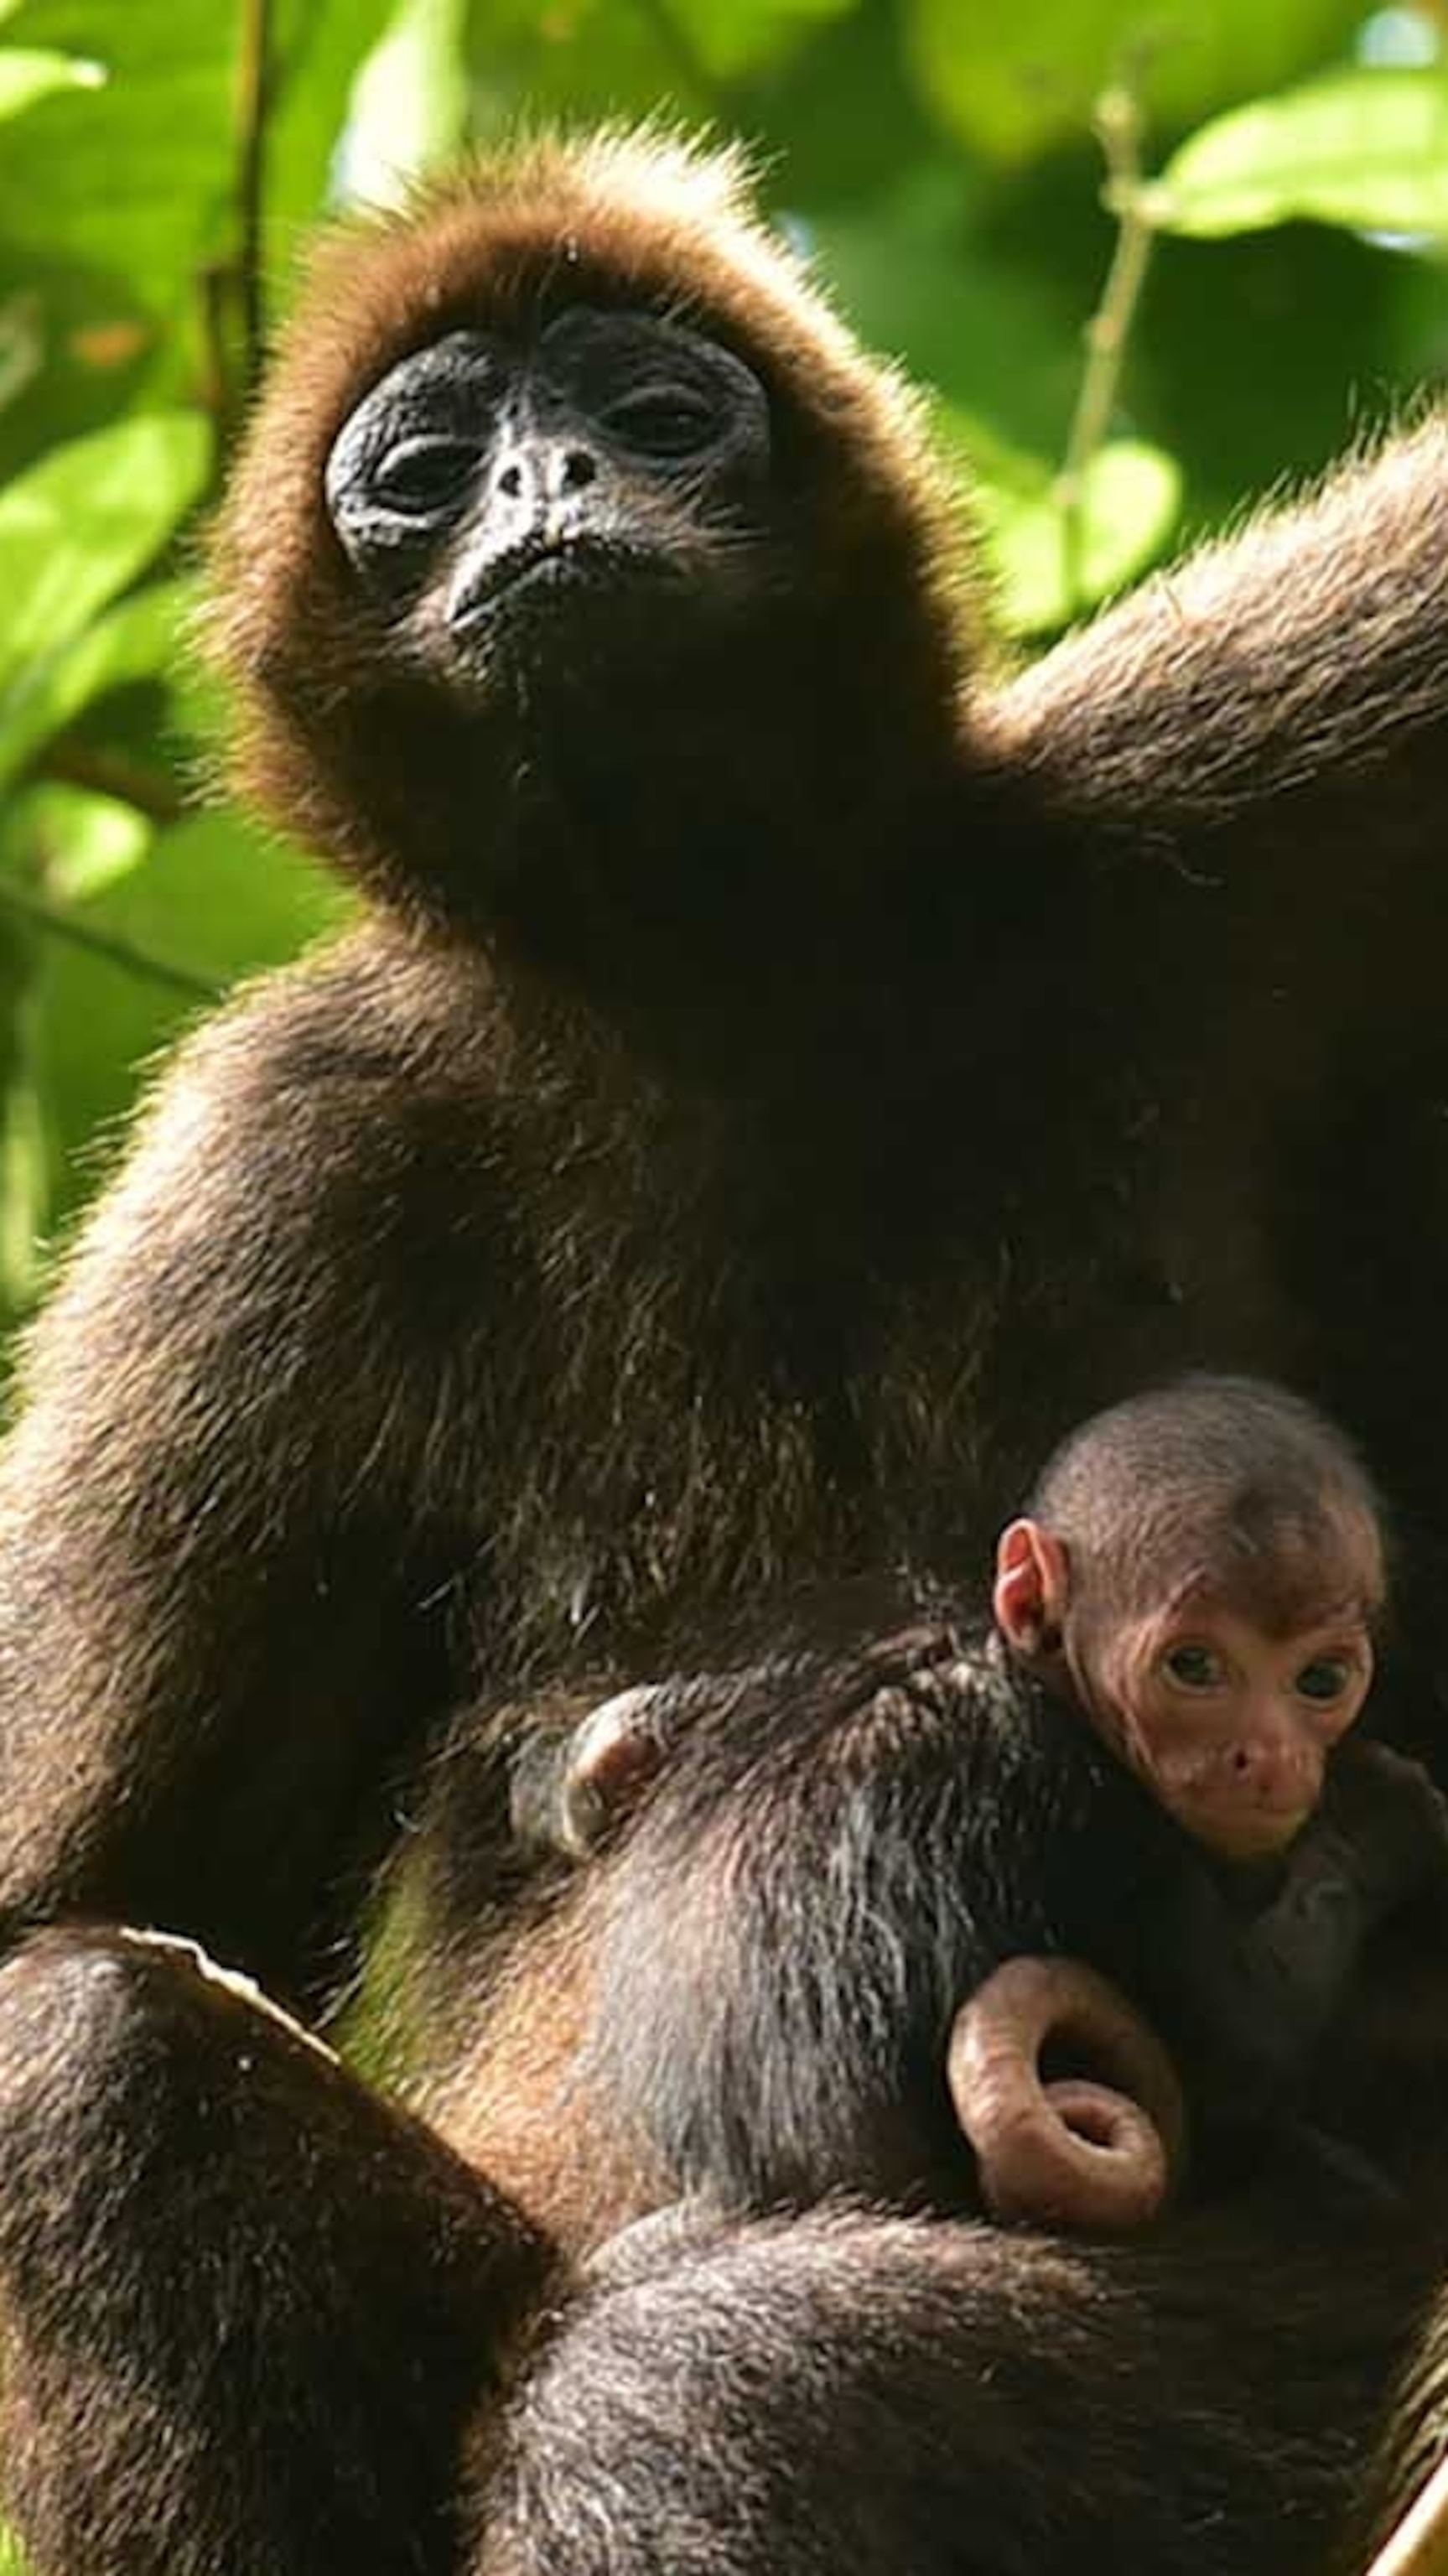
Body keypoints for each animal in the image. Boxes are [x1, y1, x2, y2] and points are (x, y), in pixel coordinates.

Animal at [3, 120, 1448, 2569]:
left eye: (655, 412)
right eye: (421, 472)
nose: (544, 481)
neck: (721, 1001)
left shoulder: (1216, 782)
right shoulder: (269, 1157)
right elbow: (66, 1913)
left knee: (704, 2387)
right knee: (85, 2059)